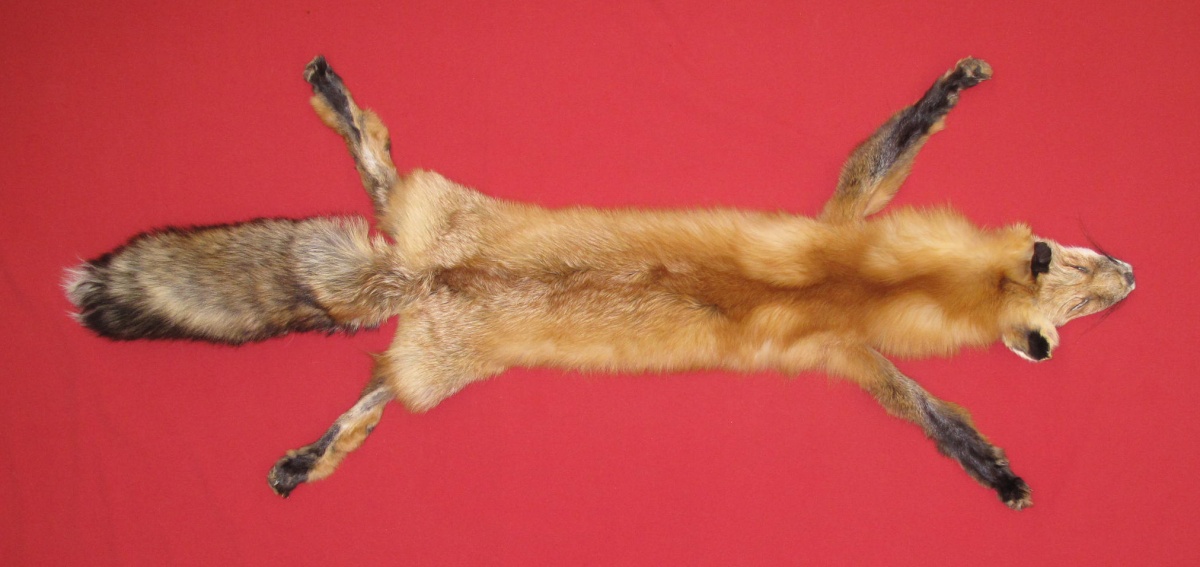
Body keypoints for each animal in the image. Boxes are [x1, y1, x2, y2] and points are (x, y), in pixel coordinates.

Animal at [64, 56, 1135, 510]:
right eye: (1085, 281)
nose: (1132, 269)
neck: (861, 284)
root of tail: (416, 278)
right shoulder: (851, 317)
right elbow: (936, 417)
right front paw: (999, 474)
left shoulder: (842, 241)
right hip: (437, 344)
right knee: (370, 387)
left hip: (430, 251)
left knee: (378, 250)